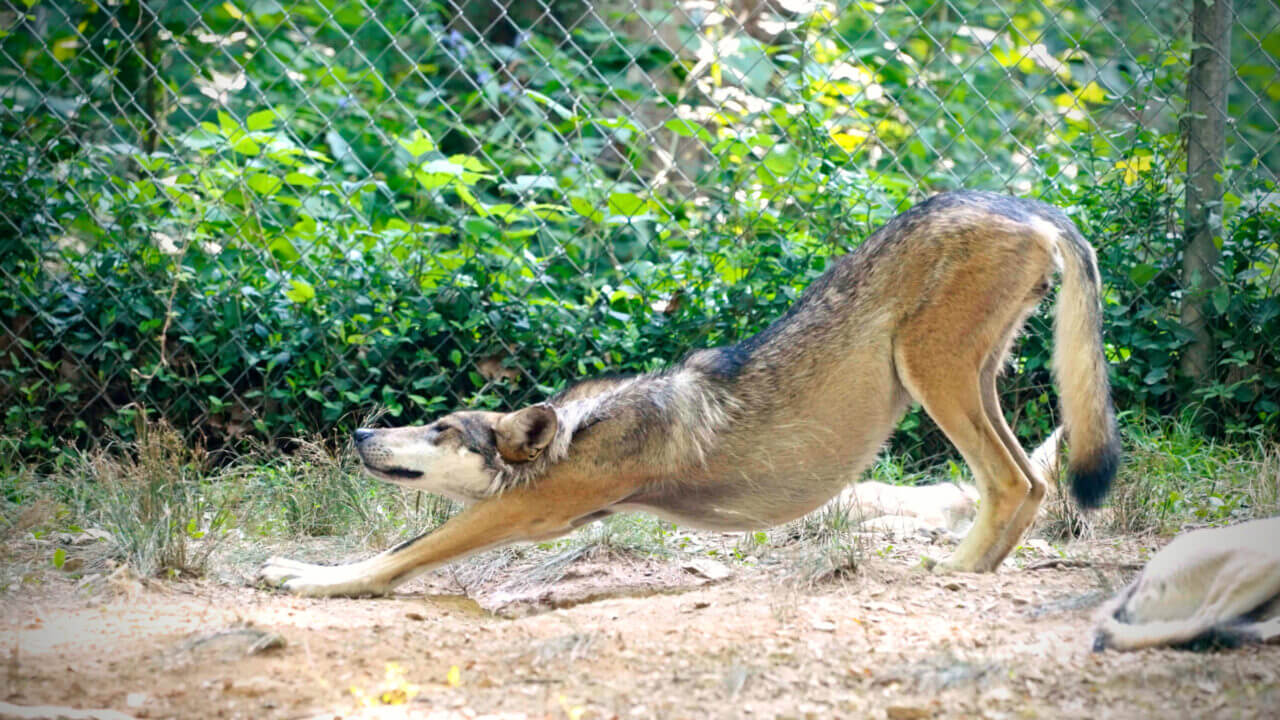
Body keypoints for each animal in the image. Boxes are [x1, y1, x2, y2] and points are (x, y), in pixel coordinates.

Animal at [259, 190, 1120, 597]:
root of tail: (1032, 205)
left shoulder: (529, 511)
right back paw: (974, 568)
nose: (360, 435)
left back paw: (951, 573)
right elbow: (398, 547)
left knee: (1015, 481)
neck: (580, 430)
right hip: (970, 378)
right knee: (1031, 480)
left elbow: (396, 555)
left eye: (440, 428)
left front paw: (307, 579)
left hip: (930, 373)